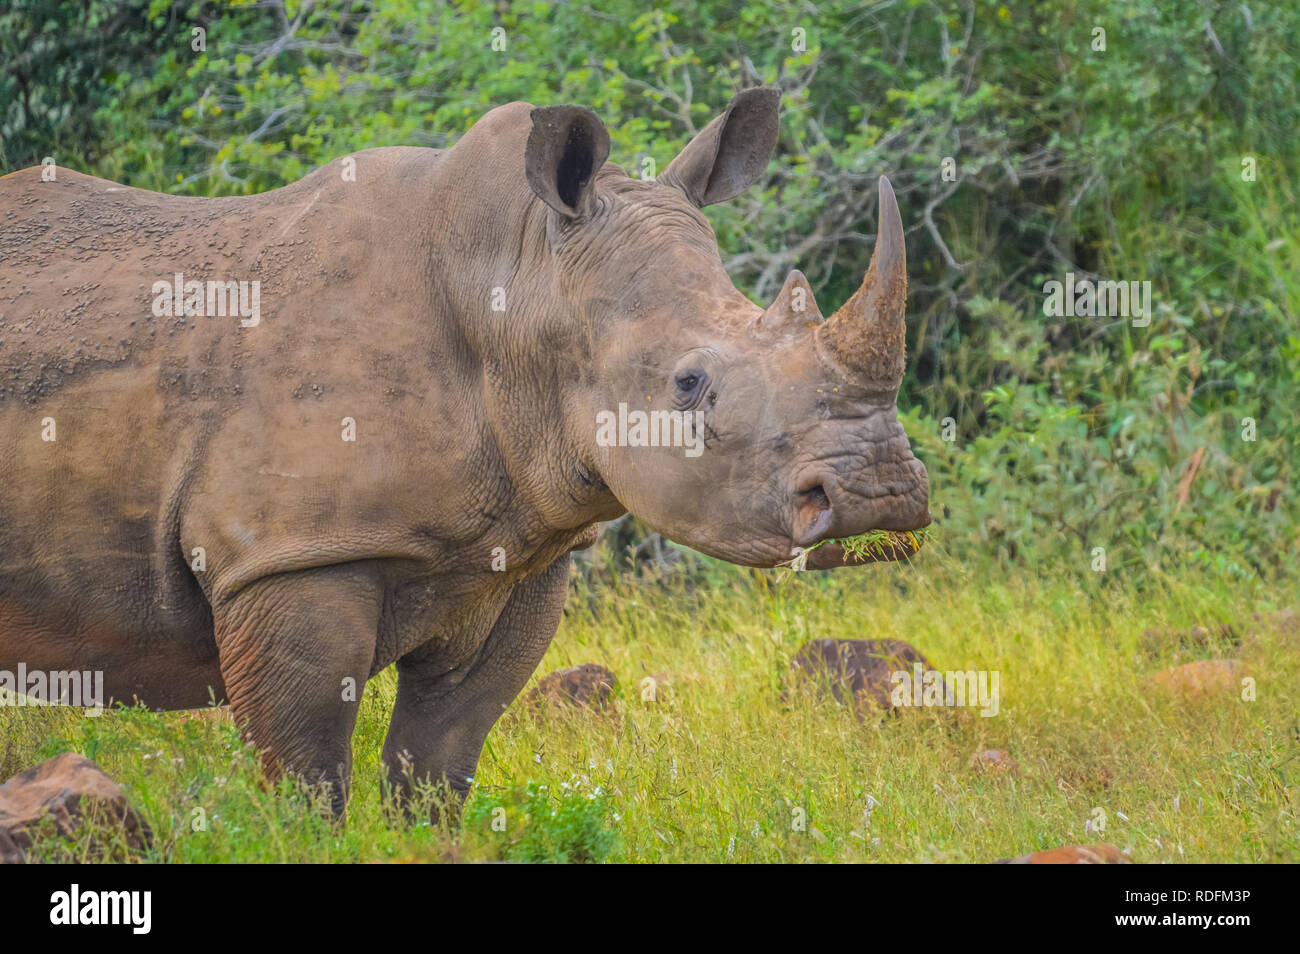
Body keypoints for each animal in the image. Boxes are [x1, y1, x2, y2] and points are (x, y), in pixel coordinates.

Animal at [0, 88, 929, 817]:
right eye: (690, 384)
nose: (881, 494)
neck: (517, 288)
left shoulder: (520, 554)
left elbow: (439, 759)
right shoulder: (286, 556)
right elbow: (308, 776)